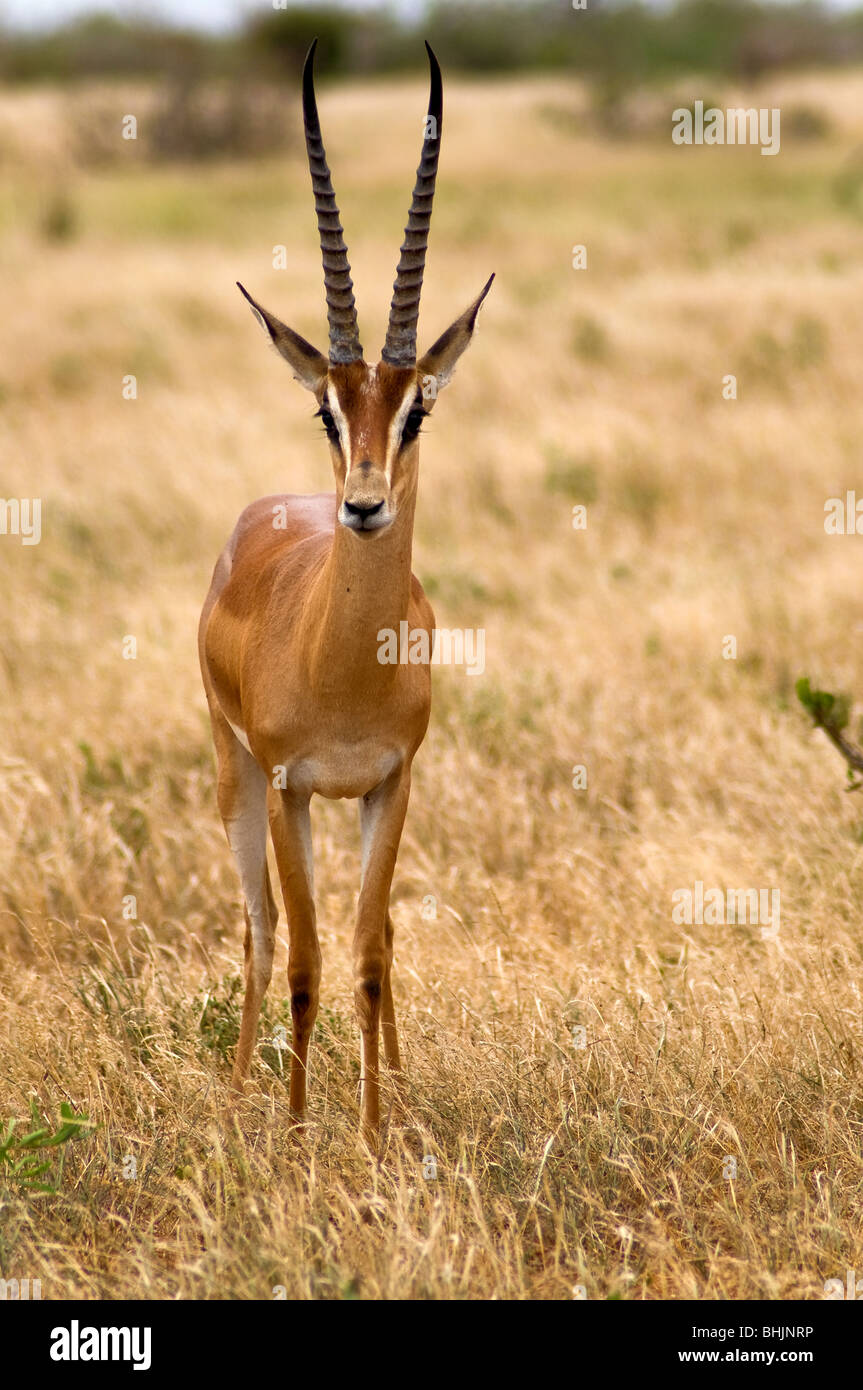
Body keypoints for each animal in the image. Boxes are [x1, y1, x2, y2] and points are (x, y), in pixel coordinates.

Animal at [198, 39, 492, 1143]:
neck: (346, 667)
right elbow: (305, 961)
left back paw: (393, 1086)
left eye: (416, 411)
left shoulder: (388, 783)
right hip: (234, 775)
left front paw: (372, 1131)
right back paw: (242, 1099)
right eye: (327, 410)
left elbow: (367, 953)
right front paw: (293, 1139)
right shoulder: (292, 786)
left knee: (381, 934)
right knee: (258, 928)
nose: (362, 505)